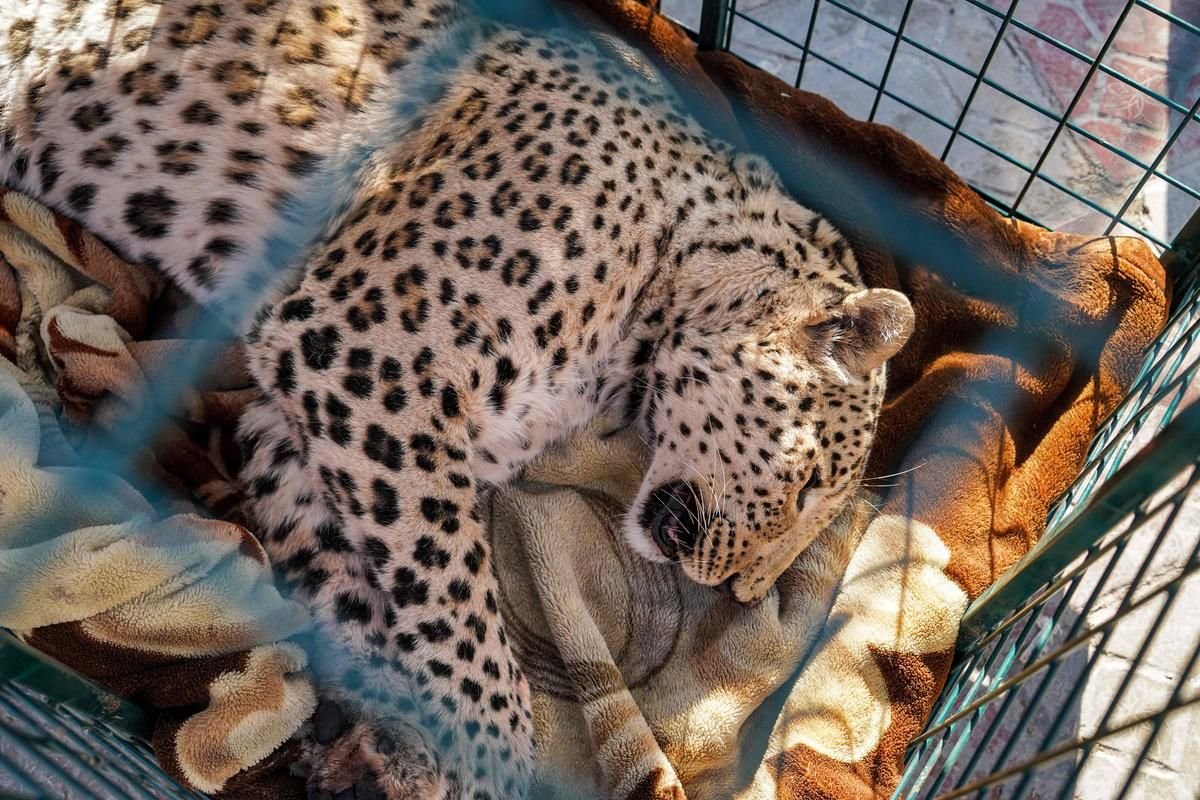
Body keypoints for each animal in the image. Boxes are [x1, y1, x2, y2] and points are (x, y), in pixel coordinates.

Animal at [0, 1, 915, 797]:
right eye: (806, 490)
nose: (741, 594)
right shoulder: (366, 351)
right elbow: (462, 615)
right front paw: (490, 759)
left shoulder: (307, 422)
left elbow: (367, 588)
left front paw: (393, 749)